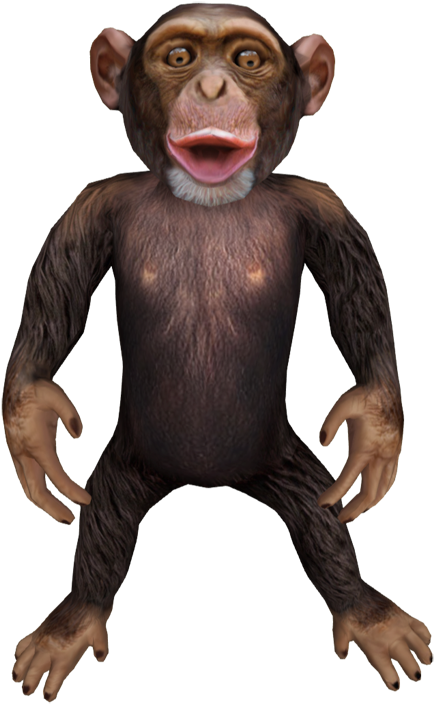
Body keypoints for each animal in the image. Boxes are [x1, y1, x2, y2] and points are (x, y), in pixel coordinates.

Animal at [3, 3, 432, 700]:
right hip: (126, 471)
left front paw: (374, 433)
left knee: (322, 525)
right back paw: (75, 618)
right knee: (103, 527)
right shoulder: (93, 204)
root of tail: (204, 482)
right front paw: (33, 428)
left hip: (284, 468)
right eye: (179, 57)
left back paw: (366, 611)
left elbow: (358, 295)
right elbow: (55, 299)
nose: (210, 87)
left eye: (247, 60)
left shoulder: (324, 206)